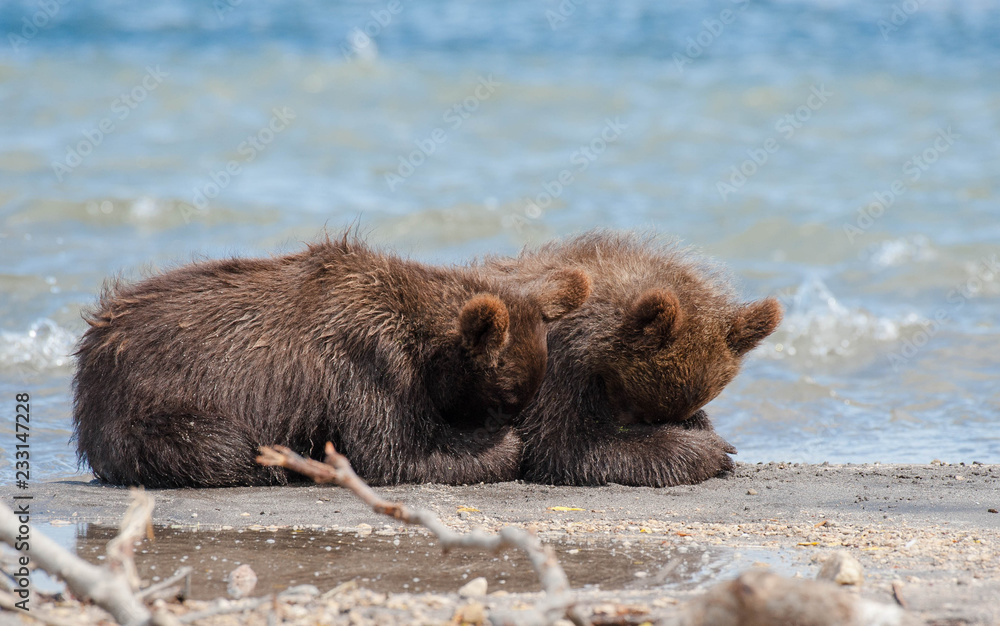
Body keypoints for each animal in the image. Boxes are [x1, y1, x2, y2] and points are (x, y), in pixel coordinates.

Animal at [72, 233, 592, 488]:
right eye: (502, 401)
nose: (512, 421)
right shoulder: (366, 362)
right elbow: (394, 453)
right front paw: (505, 449)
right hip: (150, 403)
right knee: (217, 445)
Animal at [485, 231, 782, 487]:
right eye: (637, 405)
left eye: (660, 414)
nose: (631, 423)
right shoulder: (554, 366)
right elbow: (566, 446)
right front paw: (713, 450)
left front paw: (705, 429)